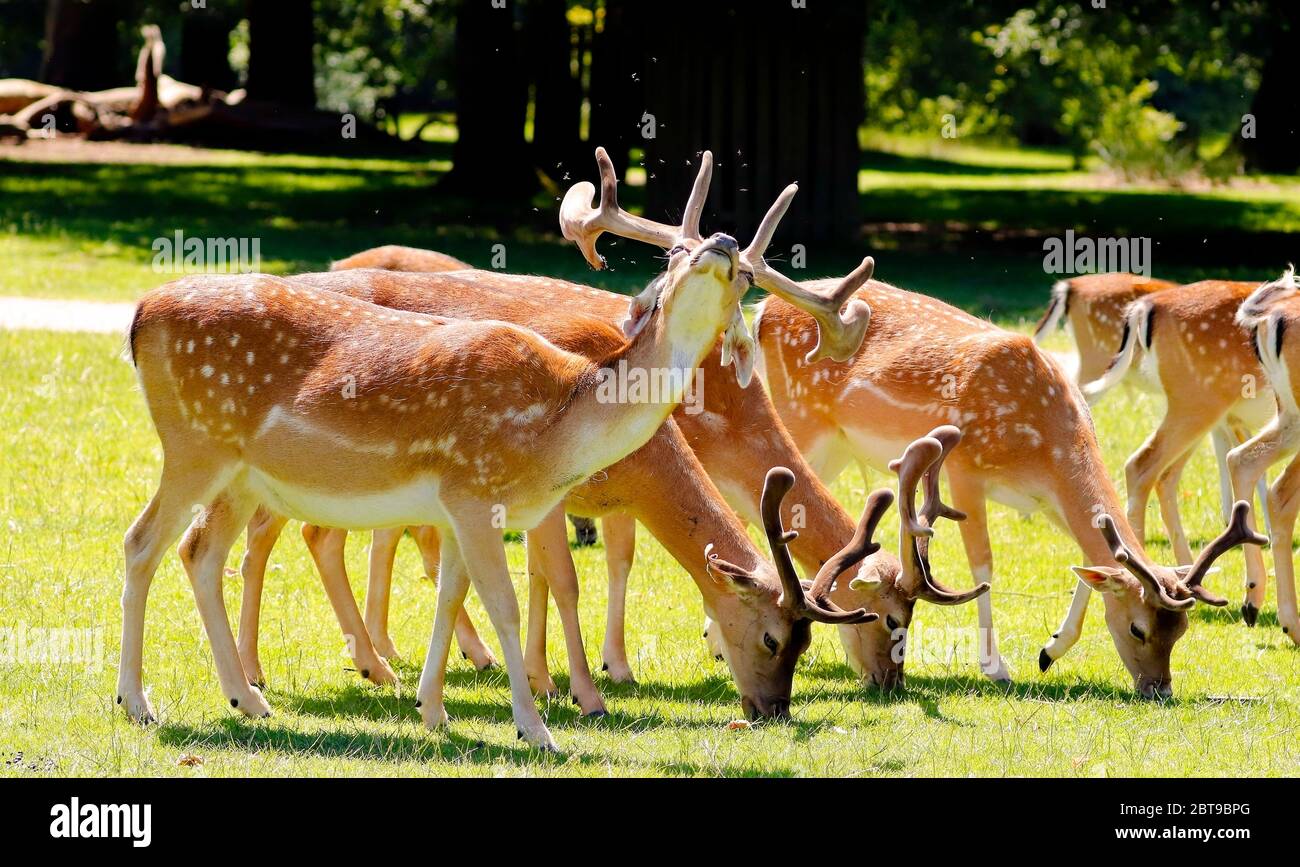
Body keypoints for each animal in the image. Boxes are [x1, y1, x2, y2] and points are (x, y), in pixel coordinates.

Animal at [117, 148, 873, 748]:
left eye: (743, 273)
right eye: (672, 253)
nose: (720, 239)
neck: (556, 430)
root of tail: (139, 314)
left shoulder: (463, 508)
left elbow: (452, 594)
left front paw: (435, 711)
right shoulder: (477, 491)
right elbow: (506, 601)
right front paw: (538, 725)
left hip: (242, 474)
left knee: (200, 551)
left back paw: (248, 697)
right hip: (193, 446)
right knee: (143, 540)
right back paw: (141, 702)